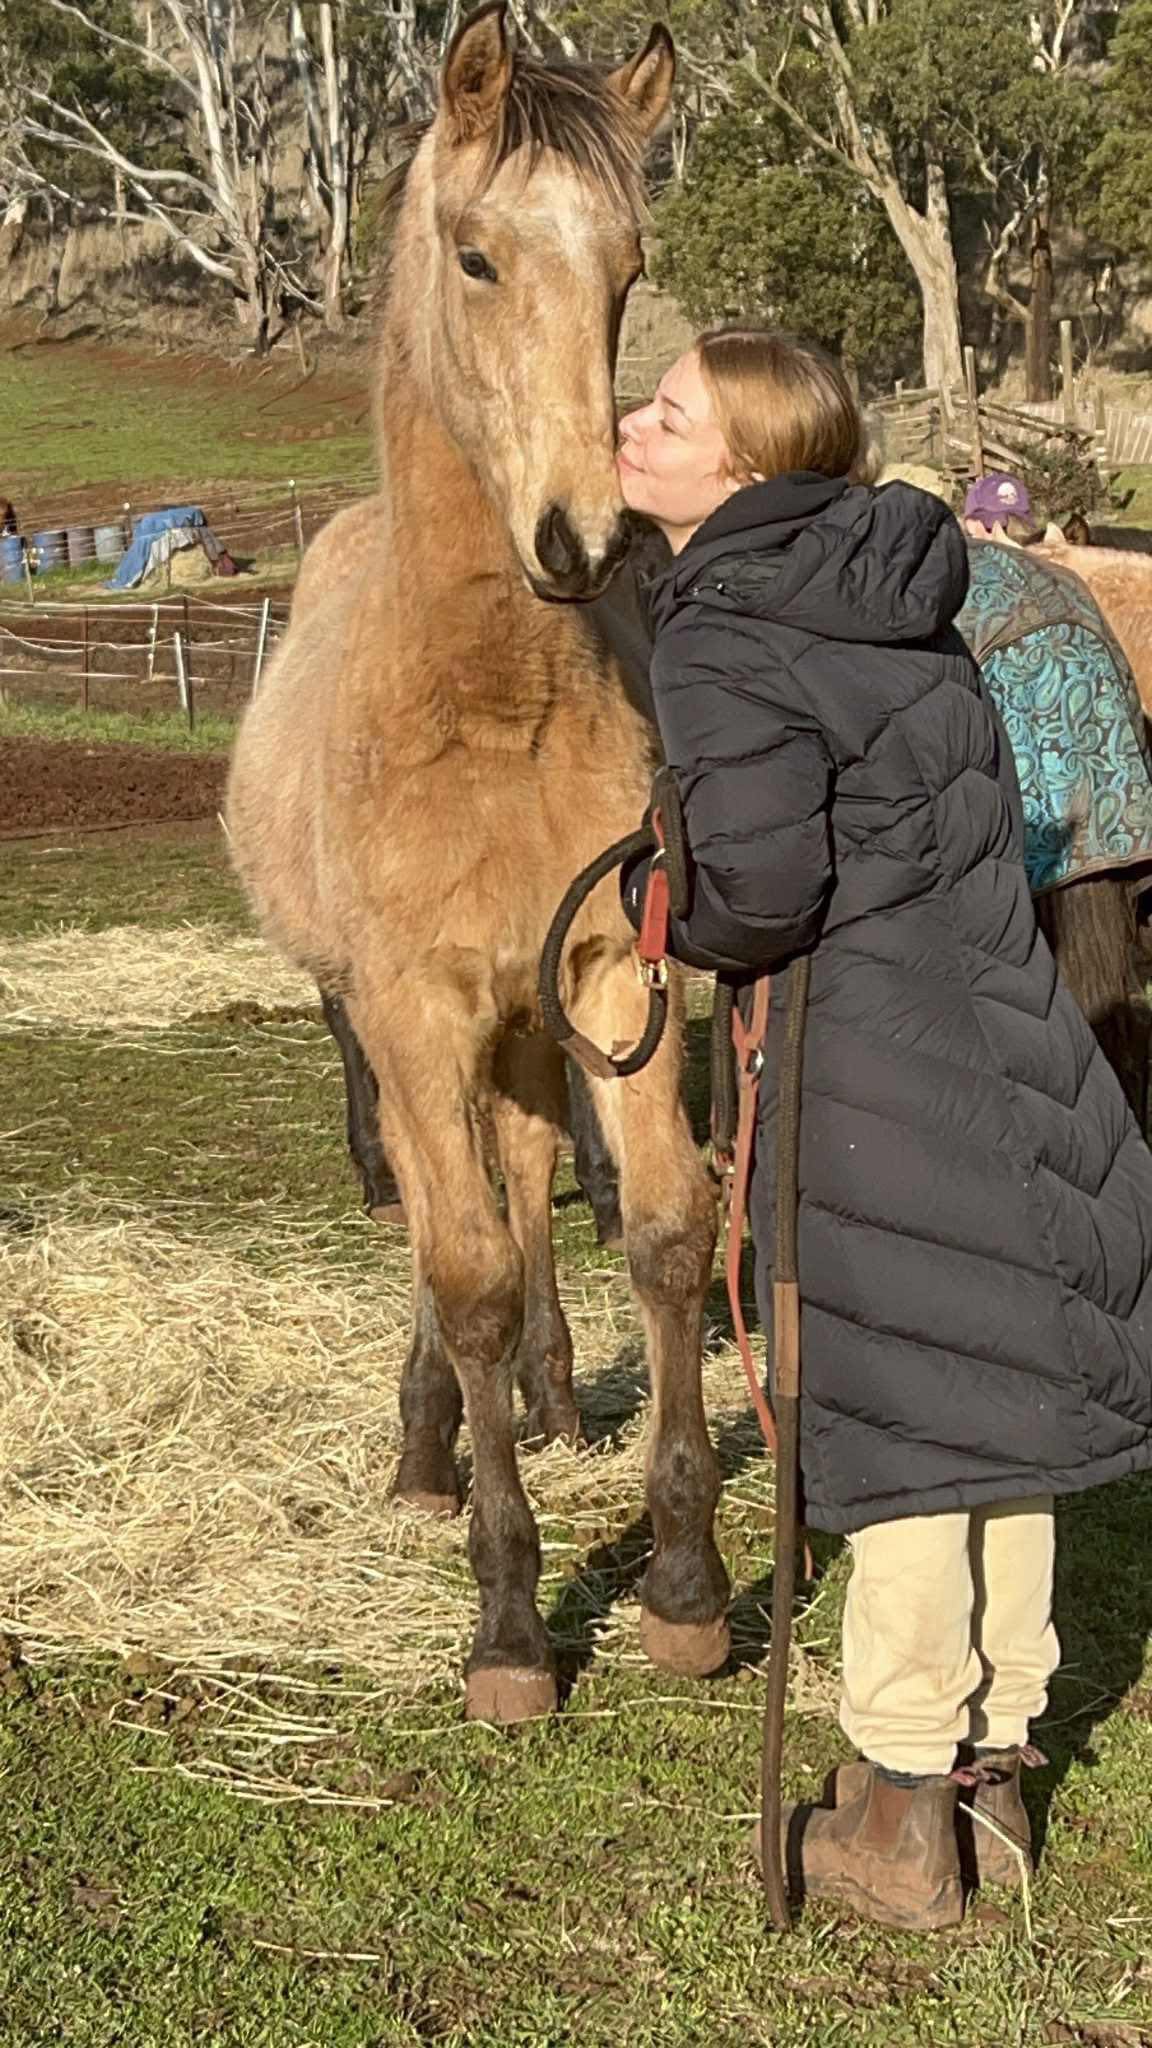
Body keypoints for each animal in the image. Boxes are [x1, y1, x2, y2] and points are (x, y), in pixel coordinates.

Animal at [226, 4, 729, 1724]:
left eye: (632, 266)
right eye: (476, 256)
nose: (587, 538)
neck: (487, 712)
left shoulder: (606, 969)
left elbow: (661, 1232)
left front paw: (688, 1582)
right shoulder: (412, 1006)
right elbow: (468, 1279)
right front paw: (509, 1620)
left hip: (523, 1030)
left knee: (517, 1194)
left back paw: (546, 1406)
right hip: (400, 1034)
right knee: (456, 1238)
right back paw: (431, 1447)